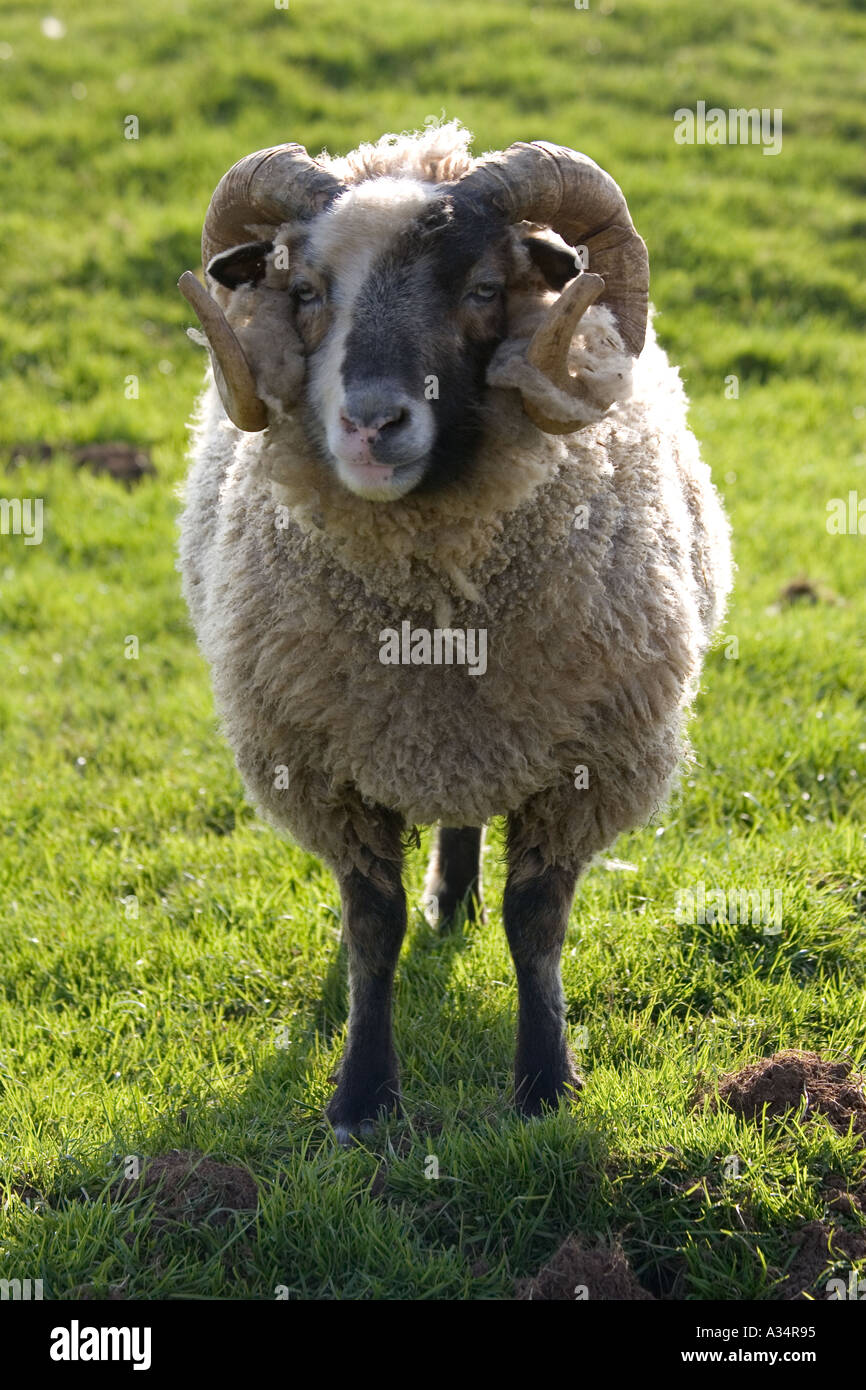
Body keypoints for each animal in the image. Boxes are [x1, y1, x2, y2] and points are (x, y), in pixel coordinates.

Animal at [178, 121, 733, 1141]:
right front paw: (362, 1096)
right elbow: (373, 927)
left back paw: (460, 897)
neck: (434, 610)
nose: (371, 422)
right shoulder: (327, 769)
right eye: (305, 293)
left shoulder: (584, 762)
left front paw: (544, 1083)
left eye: (482, 289)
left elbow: (536, 922)